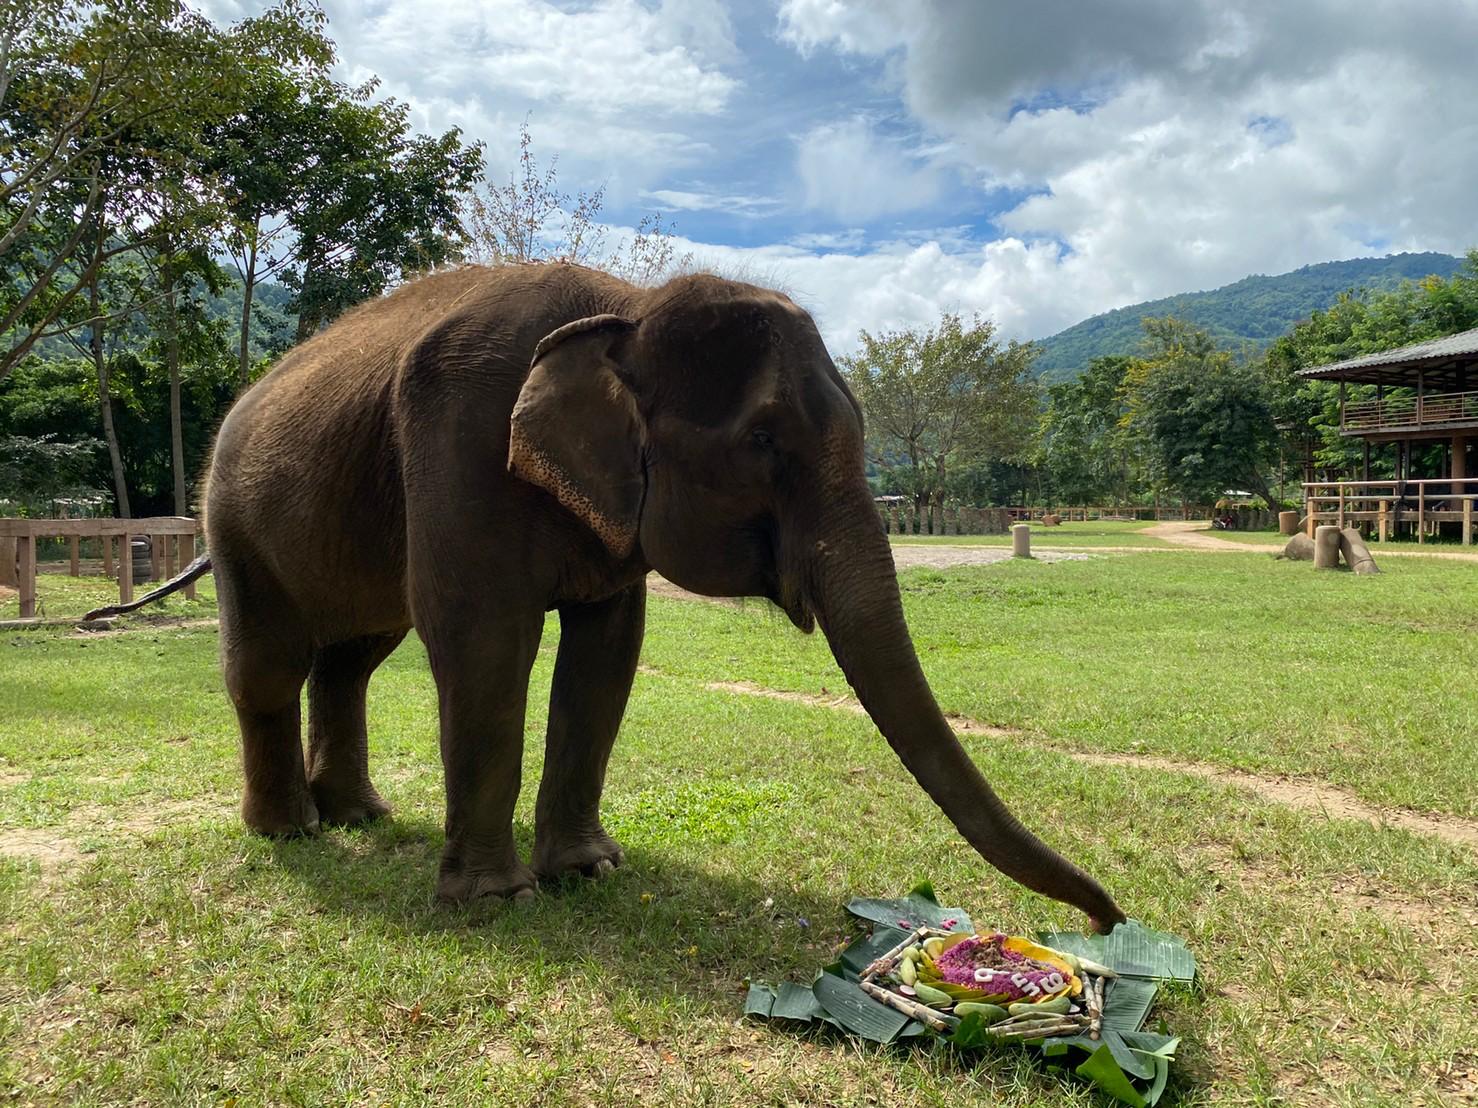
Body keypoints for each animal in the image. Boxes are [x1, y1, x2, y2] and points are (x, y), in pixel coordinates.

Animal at [113, 262, 1125, 931]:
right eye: (764, 442)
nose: (1108, 923)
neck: (624, 307)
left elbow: (607, 650)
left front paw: (589, 873)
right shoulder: (460, 441)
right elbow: (485, 640)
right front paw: (497, 902)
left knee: (356, 657)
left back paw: (361, 816)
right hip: (234, 523)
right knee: (269, 666)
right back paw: (291, 834)